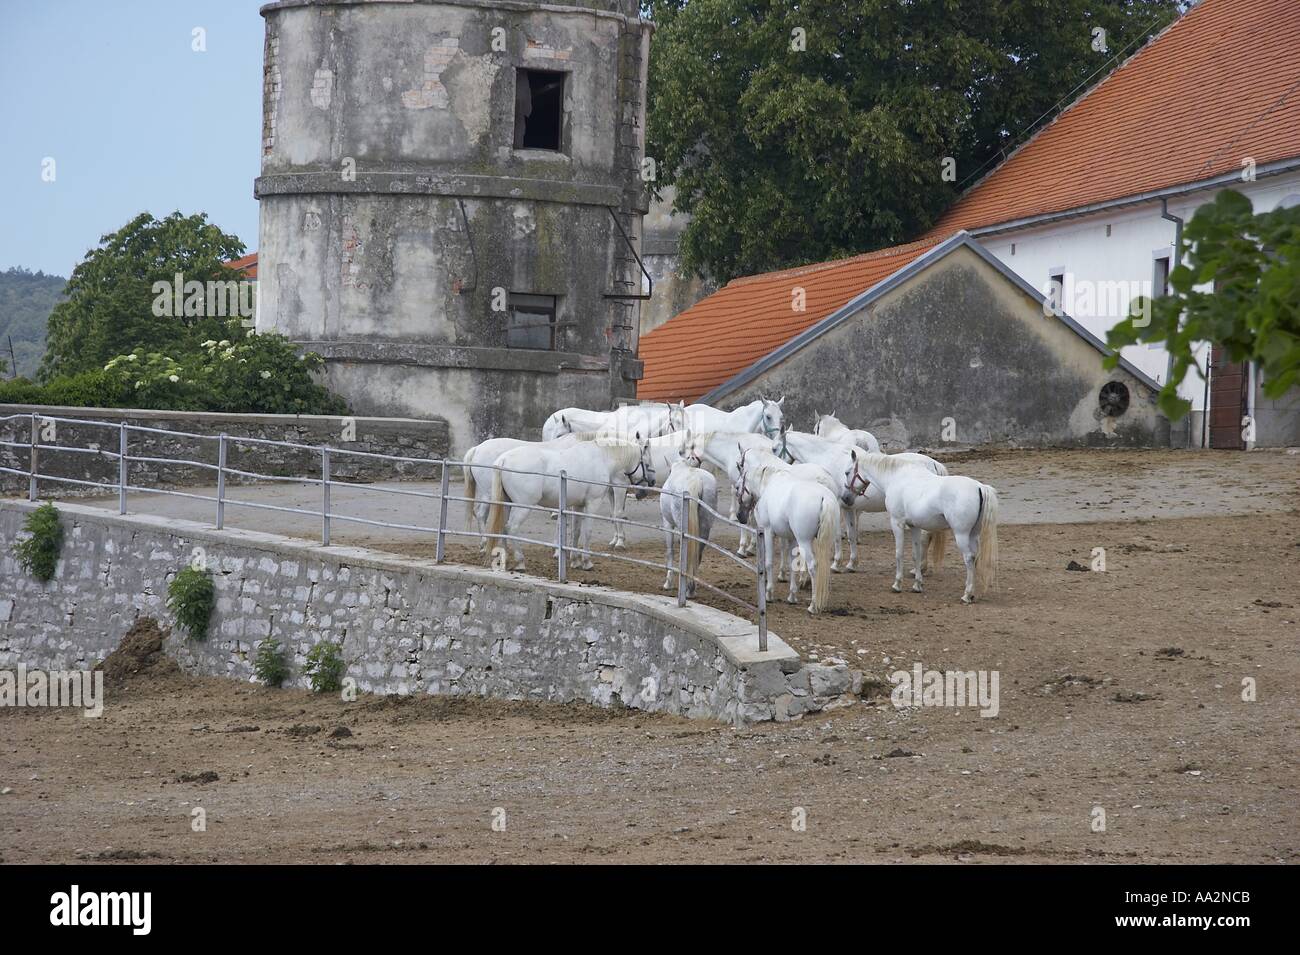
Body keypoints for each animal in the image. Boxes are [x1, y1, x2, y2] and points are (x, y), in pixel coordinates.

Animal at [485, 436, 656, 571]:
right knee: (511, 528)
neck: (601, 458)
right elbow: (587, 532)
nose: (651, 484)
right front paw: (587, 562)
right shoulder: (592, 504)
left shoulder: (577, 505)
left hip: (506, 504)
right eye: (647, 465)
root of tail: (503, 460)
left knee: (503, 528)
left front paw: (575, 561)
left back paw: (504, 559)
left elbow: (576, 531)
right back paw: (520, 562)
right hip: (523, 507)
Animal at [659, 454, 718, 597]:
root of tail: (695, 481)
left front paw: (668, 583)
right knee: (698, 554)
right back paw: (691, 590)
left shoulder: (667, 523)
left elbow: (670, 551)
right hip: (705, 527)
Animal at [734, 449, 839, 614]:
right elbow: (791, 564)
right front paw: (792, 596)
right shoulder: (791, 538)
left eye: (738, 487)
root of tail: (824, 497)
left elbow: (769, 562)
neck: (768, 483)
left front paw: (769, 593)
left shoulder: (768, 532)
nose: (740, 516)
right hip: (823, 541)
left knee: (813, 565)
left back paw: (813, 605)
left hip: (804, 541)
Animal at [773, 425, 947, 571]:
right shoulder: (848, 508)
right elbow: (851, 535)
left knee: (925, 537)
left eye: (774, 448)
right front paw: (851, 563)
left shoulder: (837, 507)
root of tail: (933, 464)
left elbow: (837, 536)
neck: (828, 458)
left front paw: (836, 563)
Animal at [846, 450, 998, 603]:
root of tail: (980, 487)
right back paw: (972, 593)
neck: (896, 477)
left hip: (961, 535)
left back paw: (967, 594)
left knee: (969, 558)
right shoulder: (914, 526)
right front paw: (917, 585)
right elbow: (916, 554)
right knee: (975, 557)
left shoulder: (897, 523)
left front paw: (897, 584)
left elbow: (899, 553)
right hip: (973, 534)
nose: (846, 498)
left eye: (847, 472)